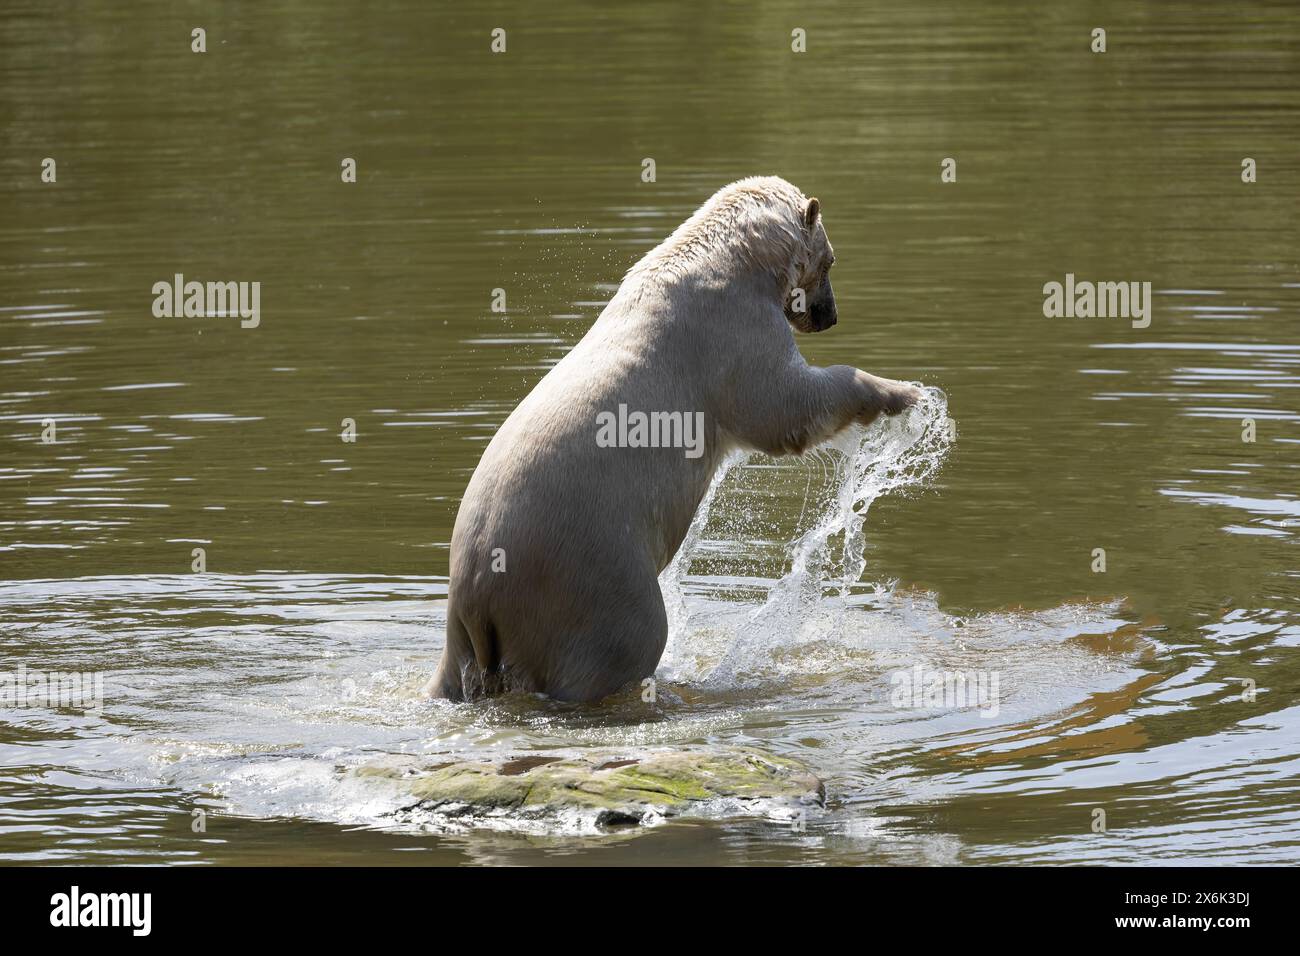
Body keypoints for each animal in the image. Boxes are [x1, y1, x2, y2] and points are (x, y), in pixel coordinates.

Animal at [426, 176, 921, 703]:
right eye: (830, 260)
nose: (829, 315)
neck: (725, 258)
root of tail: (480, 592)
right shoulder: (733, 330)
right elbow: (783, 405)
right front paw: (905, 393)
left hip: (462, 630)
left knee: (451, 672)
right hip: (588, 576)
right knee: (626, 639)